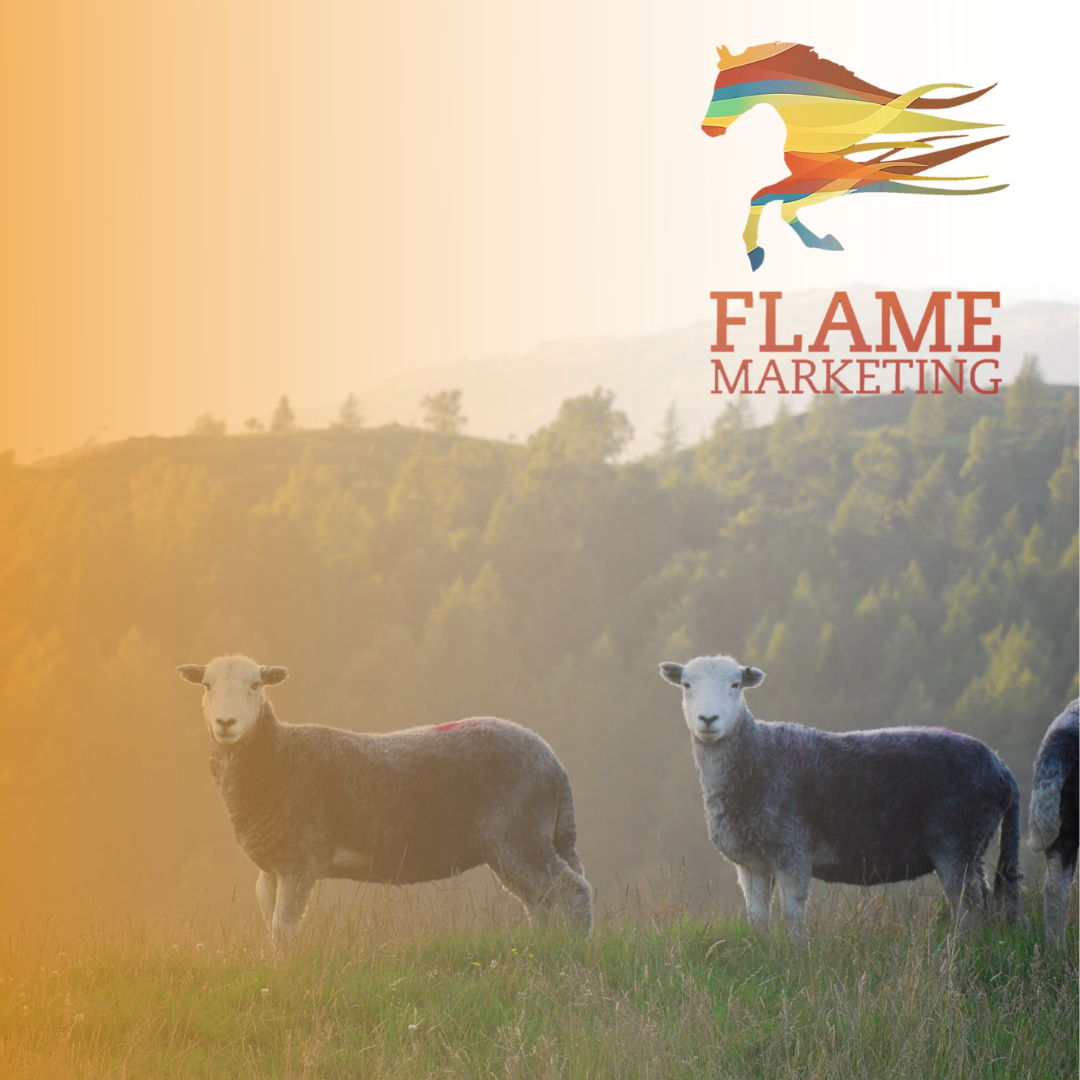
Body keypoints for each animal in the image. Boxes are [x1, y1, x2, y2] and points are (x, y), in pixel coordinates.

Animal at [177, 655, 592, 944]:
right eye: (207, 685)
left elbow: (285, 926)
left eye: (255, 685)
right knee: (540, 902)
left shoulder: (300, 860)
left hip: (521, 835)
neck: (278, 758)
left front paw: (284, 974)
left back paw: (574, 952)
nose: (226, 723)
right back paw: (539, 949)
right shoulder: (271, 867)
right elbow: (271, 925)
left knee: (572, 891)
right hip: (510, 847)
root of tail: (554, 762)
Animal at [659, 654, 1023, 936]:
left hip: (956, 843)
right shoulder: (751, 864)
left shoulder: (793, 852)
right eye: (687, 685)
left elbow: (792, 914)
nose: (708, 719)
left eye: (736, 685)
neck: (758, 758)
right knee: (982, 901)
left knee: (969, 908)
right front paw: (764, 953)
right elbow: (757, 918)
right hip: (974, 848)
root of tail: (1002, 768)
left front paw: (796, 955)